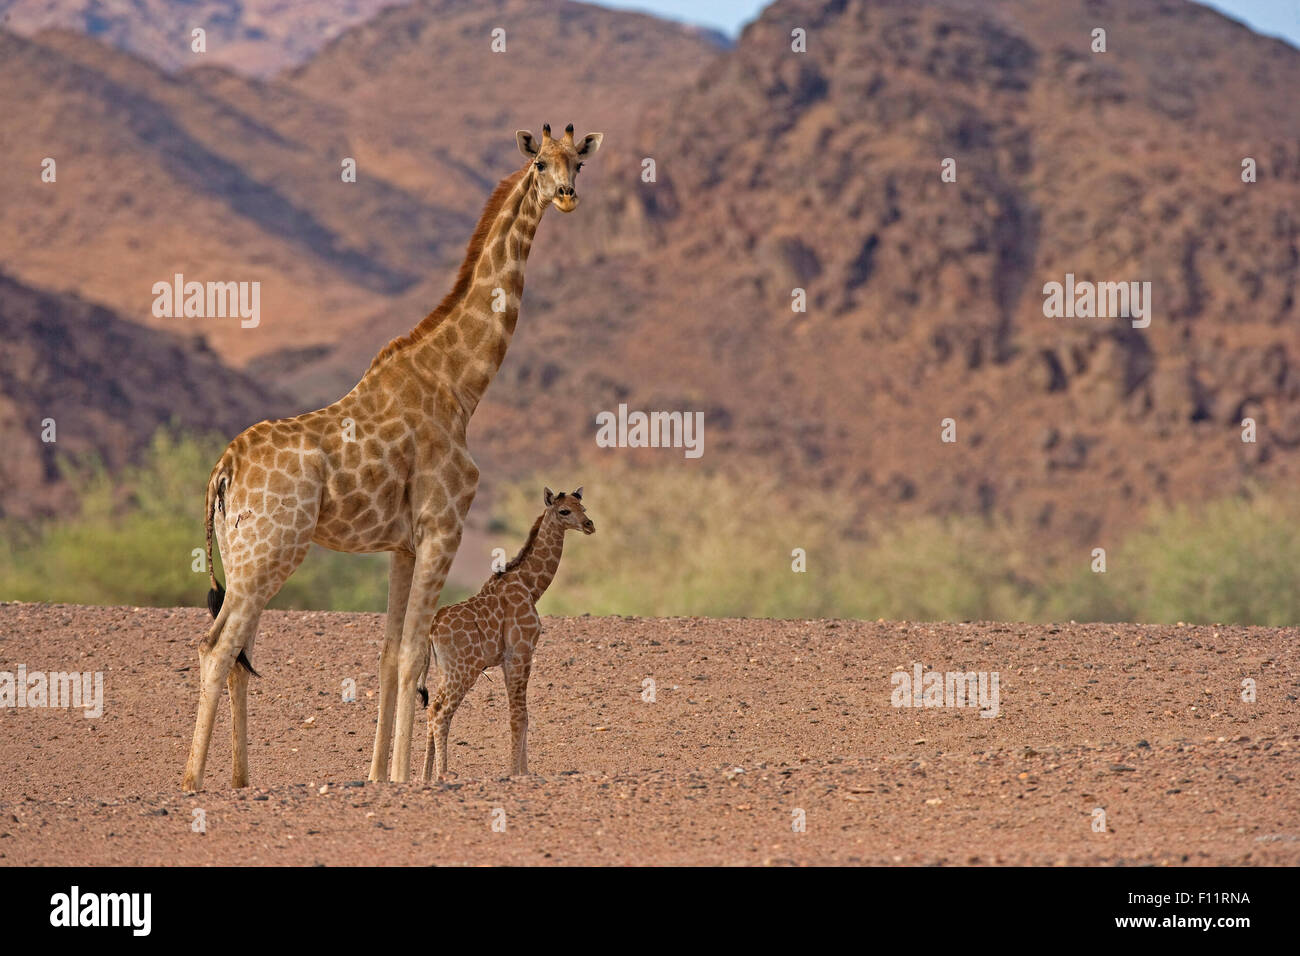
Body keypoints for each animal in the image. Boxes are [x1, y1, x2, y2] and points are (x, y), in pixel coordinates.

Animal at [418, 488, 594, 782]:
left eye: (583, 507)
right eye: (564, 511)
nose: (590, 525)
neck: (531, 586)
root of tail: (433, 628)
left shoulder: (506, 659)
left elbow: (525, 715)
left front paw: (524, 770)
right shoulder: (520, 653)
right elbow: (518, 715)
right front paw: (516, 771)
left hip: (446, 670)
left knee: (432, 709)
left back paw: (425, 775)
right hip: (464, 670)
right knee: (442, 713)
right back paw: (444, 774)